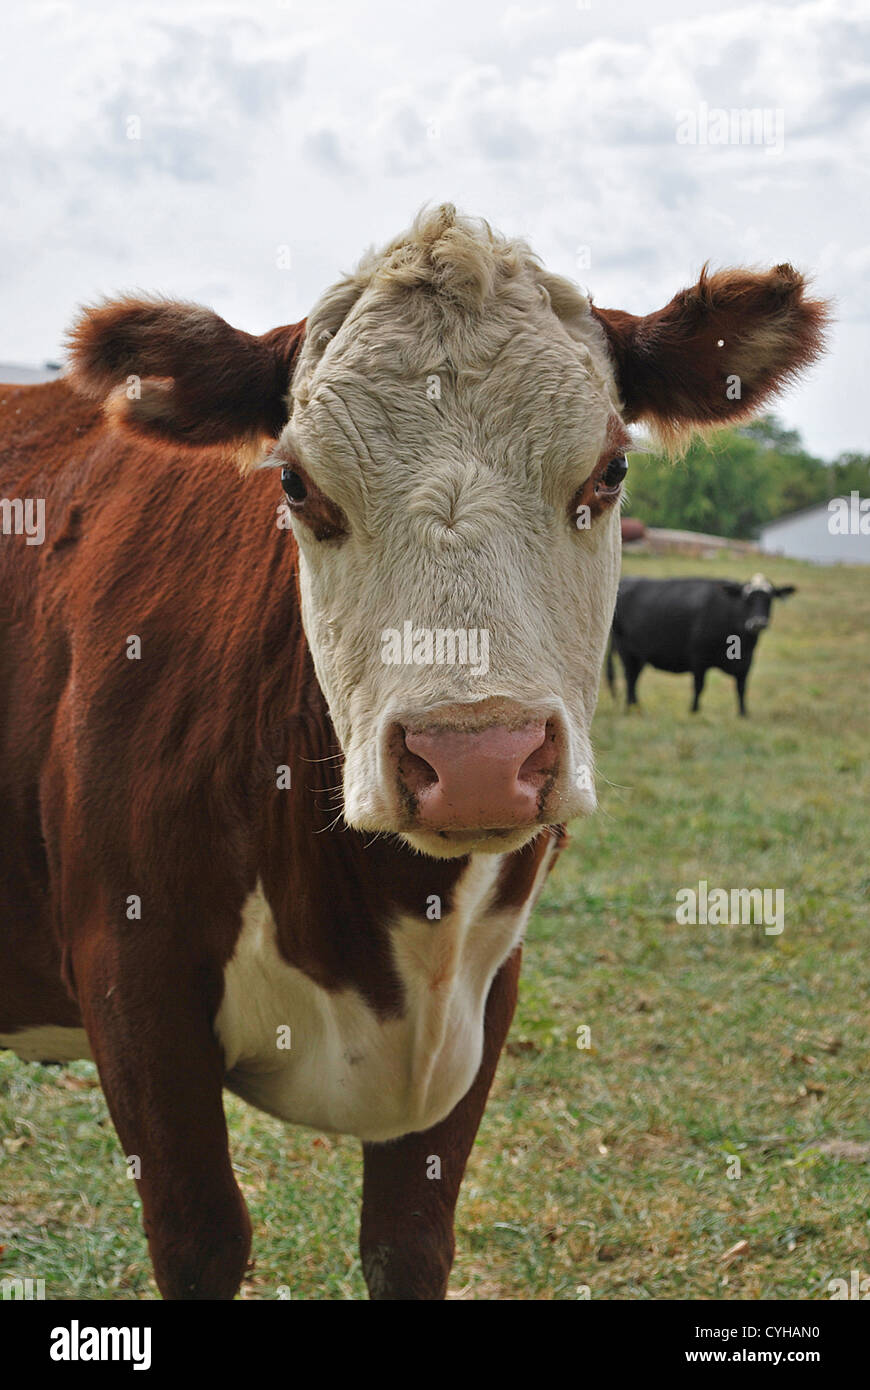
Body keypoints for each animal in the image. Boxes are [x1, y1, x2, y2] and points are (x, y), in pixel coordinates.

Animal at [607, 573, 797, 715]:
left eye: (770, 598)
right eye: (746, 599)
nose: (758, 623)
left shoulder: (746, 663)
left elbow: (741, 688)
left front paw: (743, 714)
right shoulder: (699, 659)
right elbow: (699, 687)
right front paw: (694, 711)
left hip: (639, 655)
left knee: (634, 679)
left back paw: (636, 707)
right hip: (626, 650)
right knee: (630, 678)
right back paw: (631, 709)